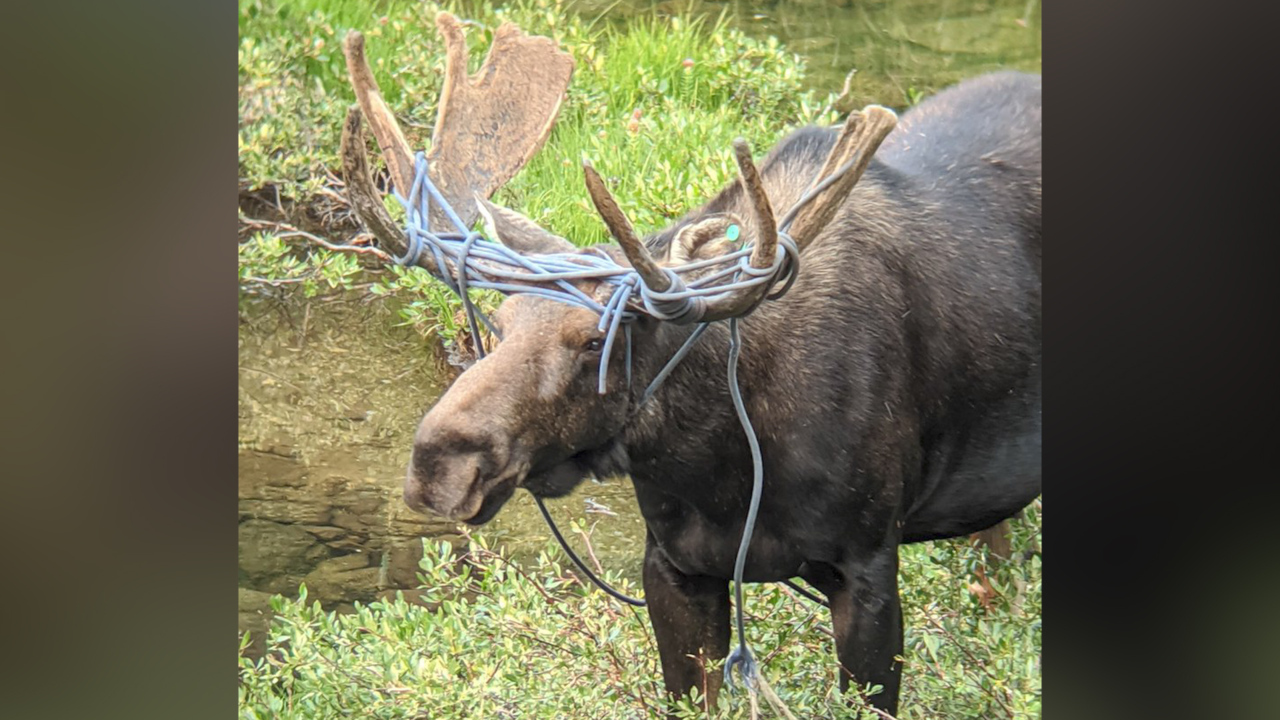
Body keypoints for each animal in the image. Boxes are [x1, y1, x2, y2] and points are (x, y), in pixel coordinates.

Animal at [333, 12, 1041, 717]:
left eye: (594, 339)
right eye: (498, 324)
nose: (438, 465)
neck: (723, 464)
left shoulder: (866, 564)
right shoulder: (673, 563)